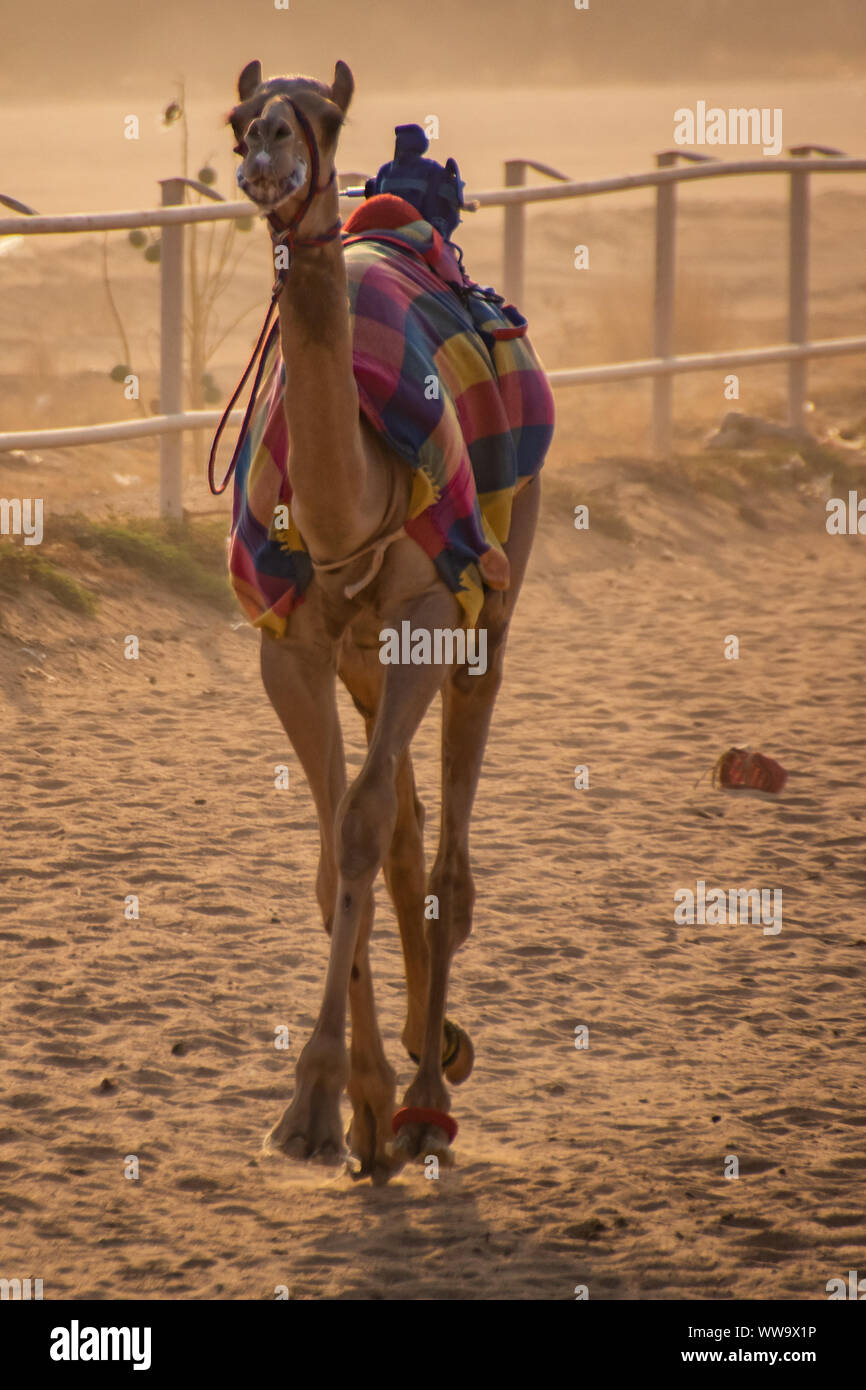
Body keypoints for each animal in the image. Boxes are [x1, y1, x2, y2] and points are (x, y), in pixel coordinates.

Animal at [225, 59, 544, 1182]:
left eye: (323, 118)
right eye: (239, 119)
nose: (267, 154)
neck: (343, 507)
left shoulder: (426, 609)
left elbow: (360, 831)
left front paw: (323, 1103)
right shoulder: (290, 648)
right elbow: (337, 855)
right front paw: (348, 1109)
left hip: (491, 598)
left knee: (443, 846)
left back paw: (428, 1098)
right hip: (368, 657)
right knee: (405, 835)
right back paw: (419, 1053)